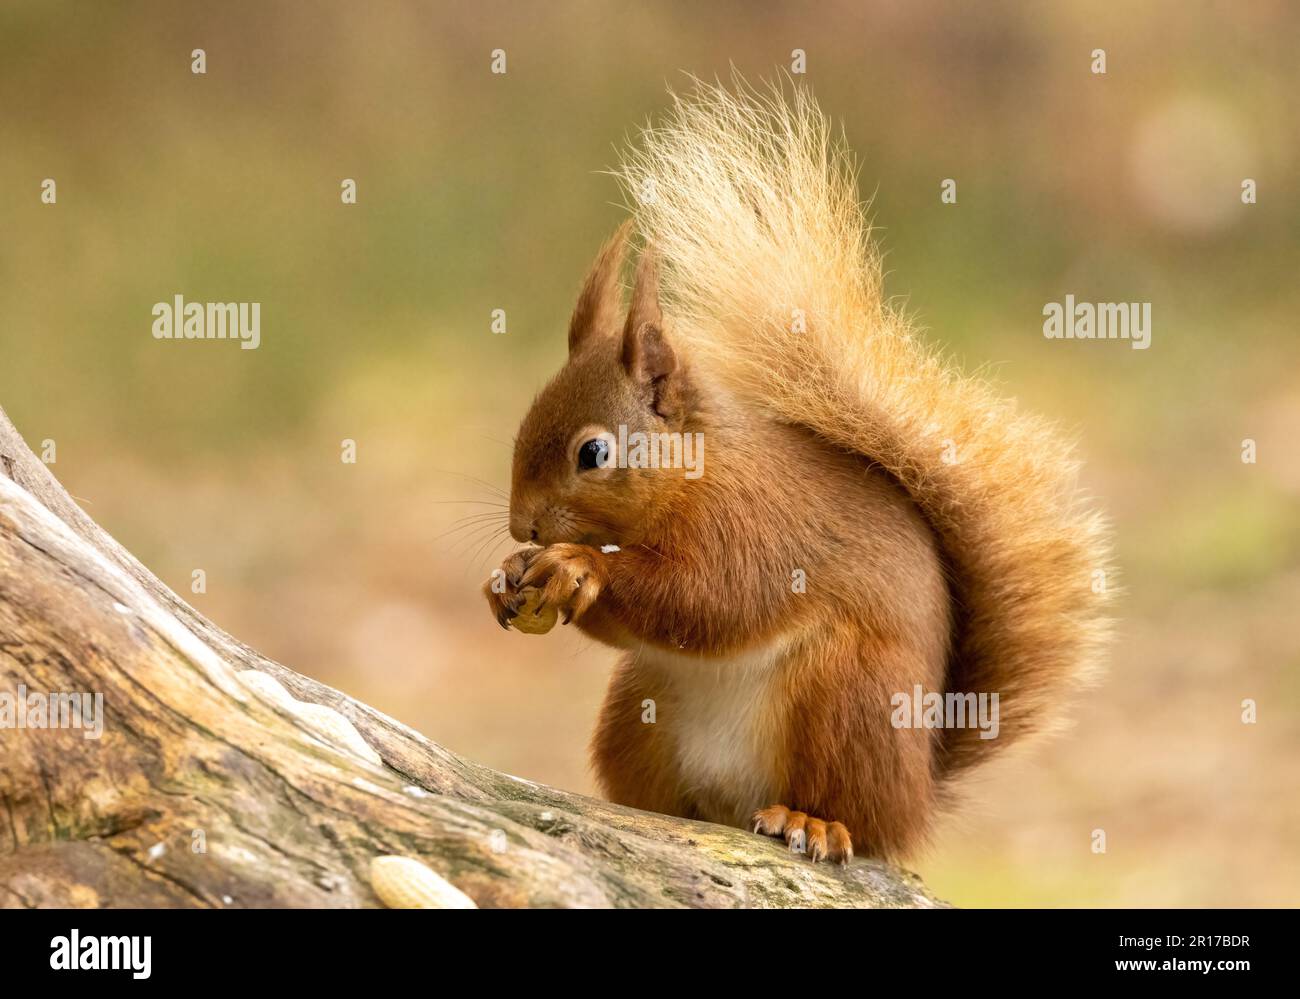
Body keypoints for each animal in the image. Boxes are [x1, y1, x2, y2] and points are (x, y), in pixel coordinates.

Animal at [484, 80, 1112, 863]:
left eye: (593, 454)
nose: (523, 525)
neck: (699, 471)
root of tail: (919, 794)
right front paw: (506, 576)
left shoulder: (754, 527)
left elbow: (705, 601)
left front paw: (579, 565)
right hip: (637, 710)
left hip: (849, 695)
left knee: (856, 818)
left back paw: (812, 822)